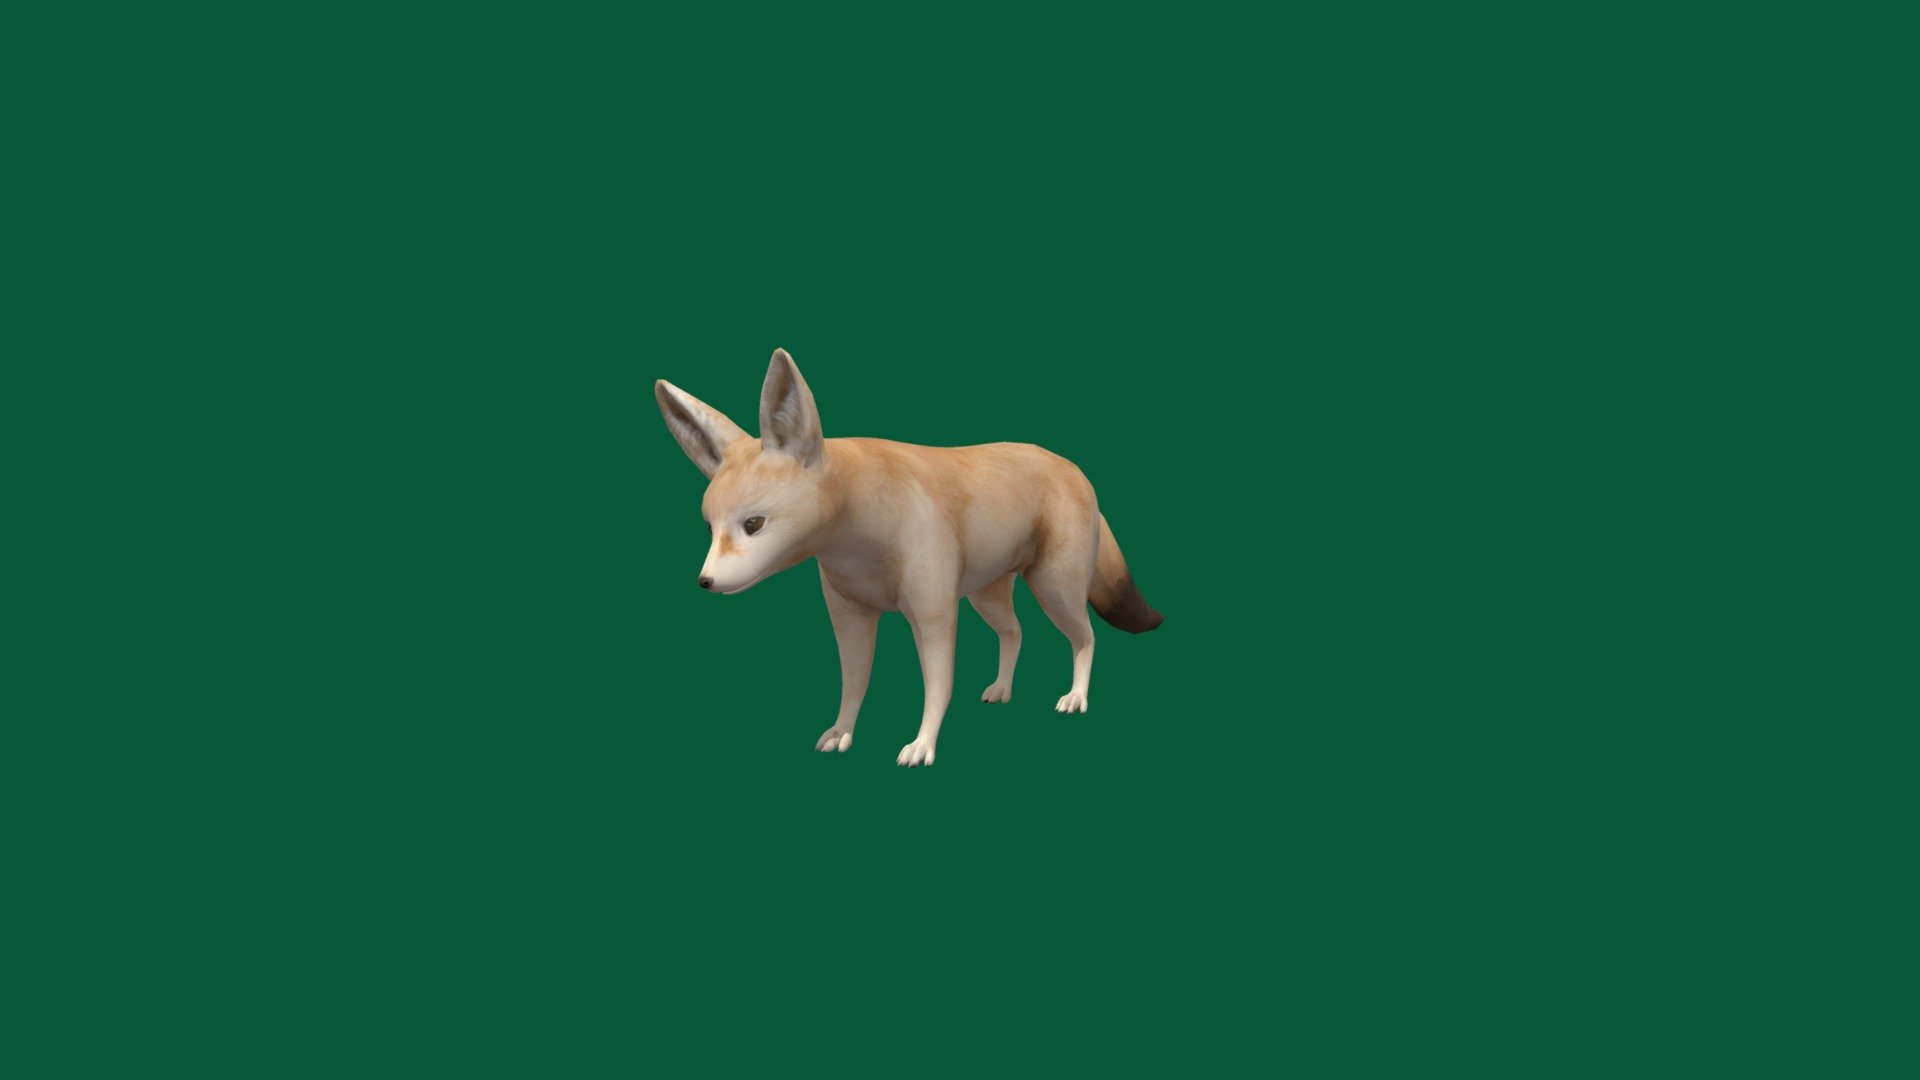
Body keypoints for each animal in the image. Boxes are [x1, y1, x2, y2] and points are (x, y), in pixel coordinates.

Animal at [655, 348, 1163, 767]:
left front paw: (923, 744)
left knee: (1086, 637)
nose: (704, 582)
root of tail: (1075, 469)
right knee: (1015, 632)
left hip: (1054, 588)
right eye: (709, 528)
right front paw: (843, 731)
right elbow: (854, 683)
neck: (860, 538)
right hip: (988, 596)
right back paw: (1002, 689)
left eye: (753, 525)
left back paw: (1076, 696)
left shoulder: (933, 614)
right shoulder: (851, 616)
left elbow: (938, 686)